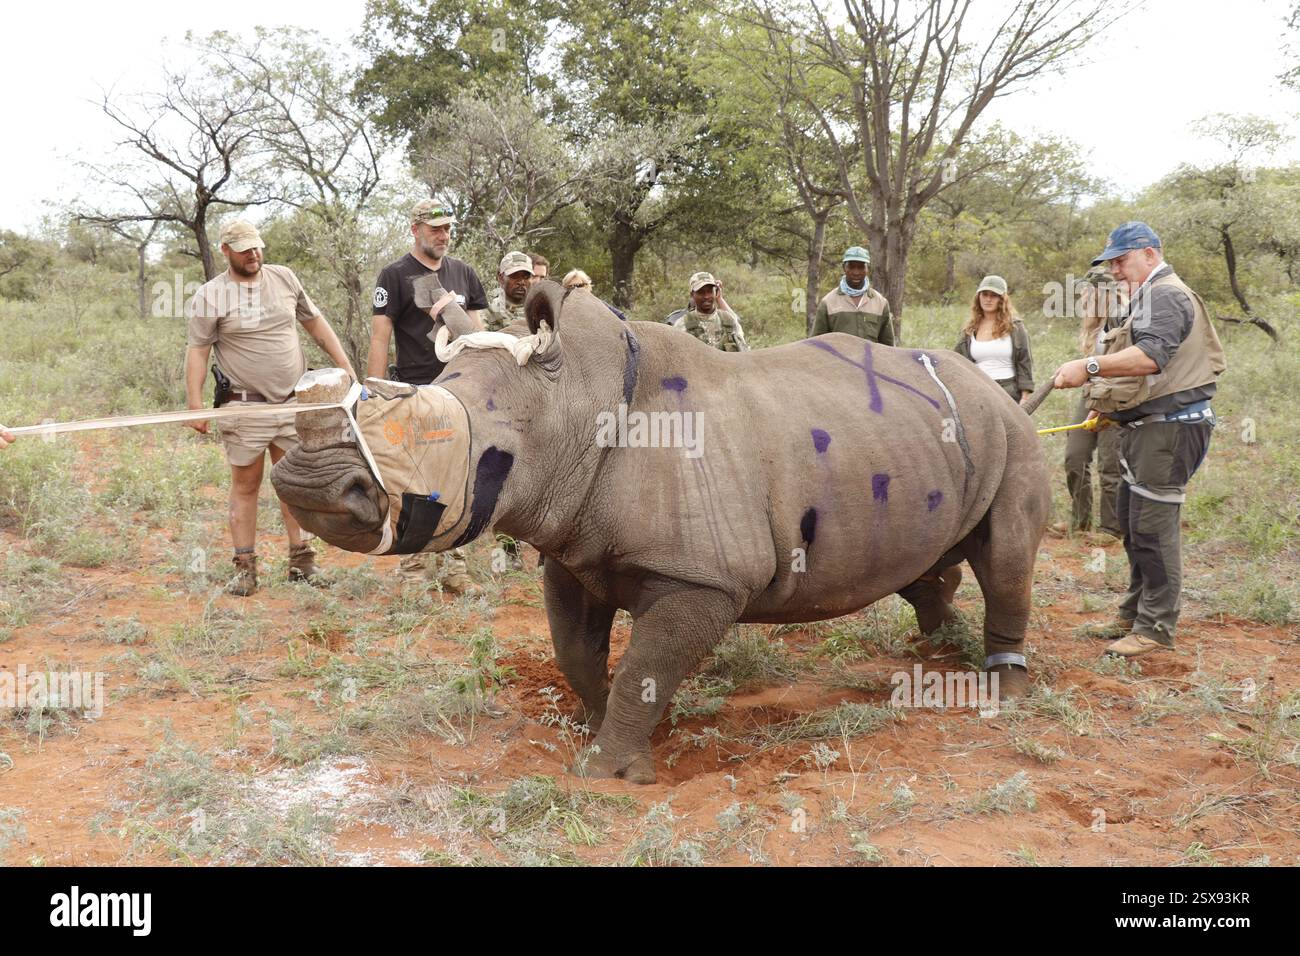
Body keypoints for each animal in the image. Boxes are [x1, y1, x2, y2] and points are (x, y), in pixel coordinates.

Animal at [271, 281, 1050, 783]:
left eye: (452, 450)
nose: (308, 487)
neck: (572, 403)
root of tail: (992, 390)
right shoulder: (572, 547)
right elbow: (580, 655)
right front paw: (612, 737)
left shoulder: (702, 578)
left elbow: (644, 664)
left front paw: (605, 774)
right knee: (928, 562)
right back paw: (937, 649)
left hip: (1011, 430)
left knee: (1009, 557)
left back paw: (1003, 695)